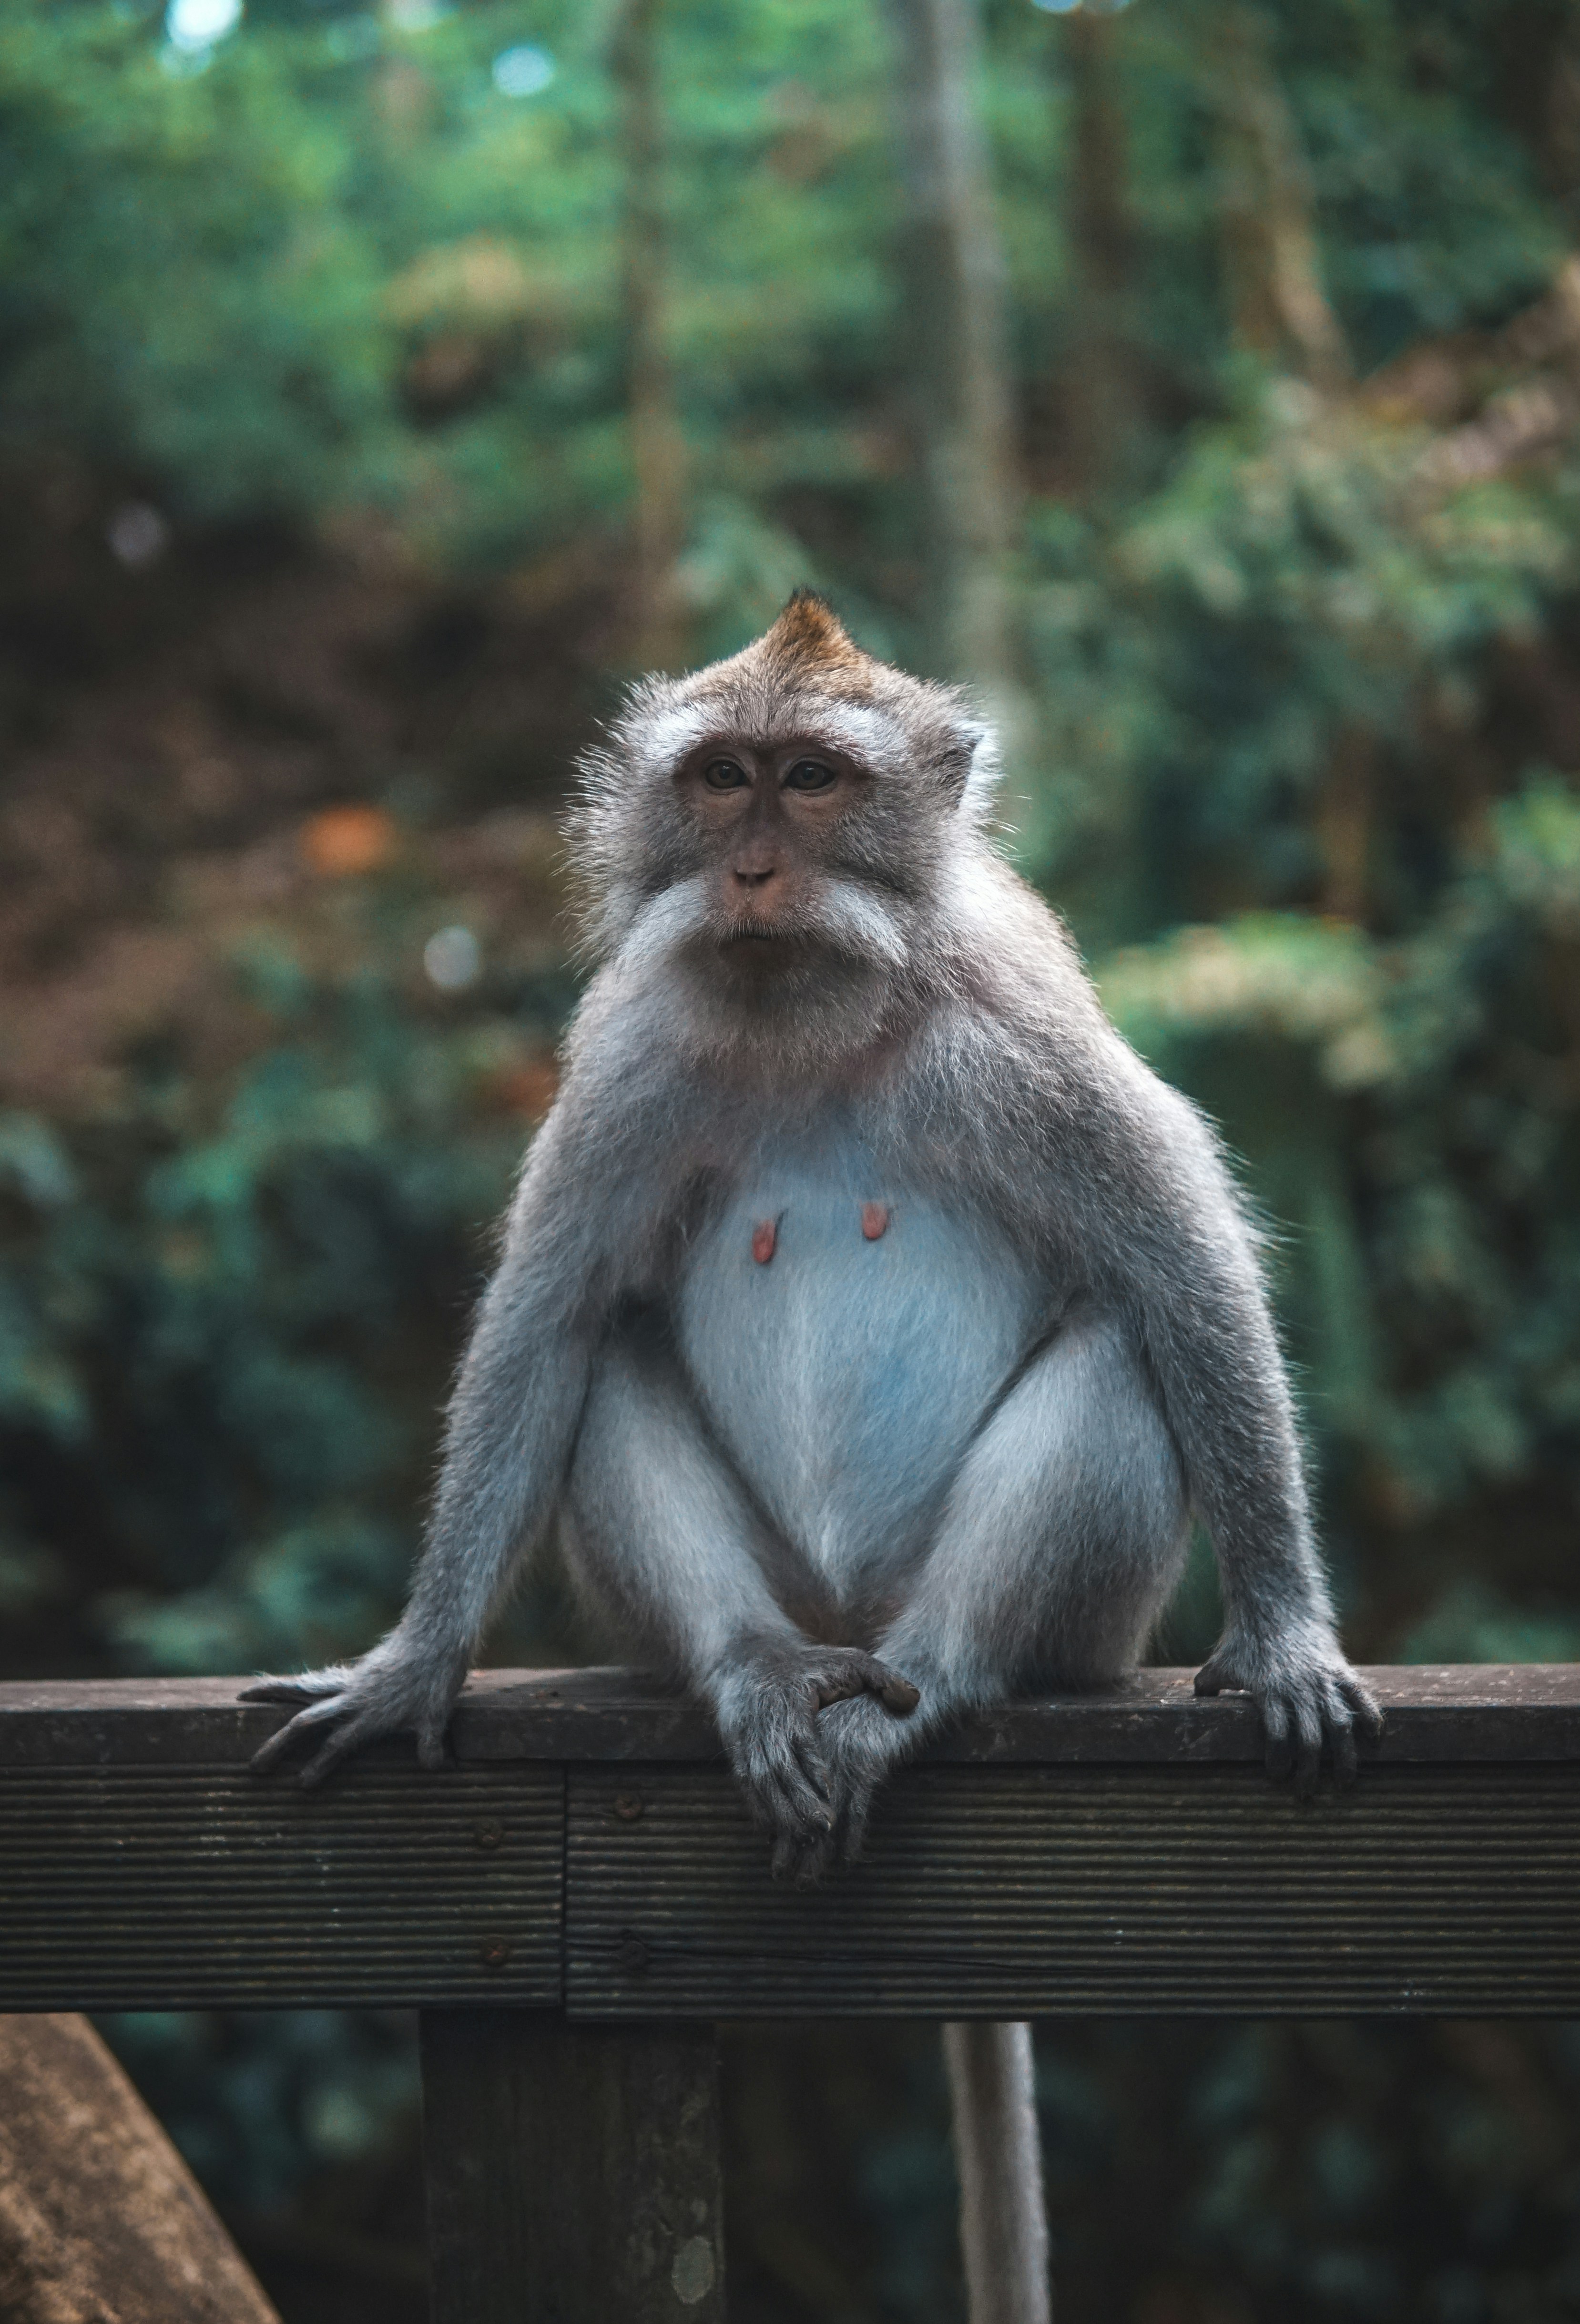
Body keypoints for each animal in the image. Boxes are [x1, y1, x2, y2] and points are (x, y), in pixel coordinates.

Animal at [245, 592, 1379, 2319]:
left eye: (815, 780)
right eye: (722, 777)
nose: (754, 872)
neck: (812, 1009)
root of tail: (856, 1628)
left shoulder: (1021, 1025)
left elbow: (1179, 1255)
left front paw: (1289, 1633)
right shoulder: (631, 1049)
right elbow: (545, 1319)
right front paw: (416, 1659)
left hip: (1078, 1617)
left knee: (1117, 1359)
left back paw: (942, 1684)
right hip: (779, 1590)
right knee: (608, 1356)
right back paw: (753, 1673)